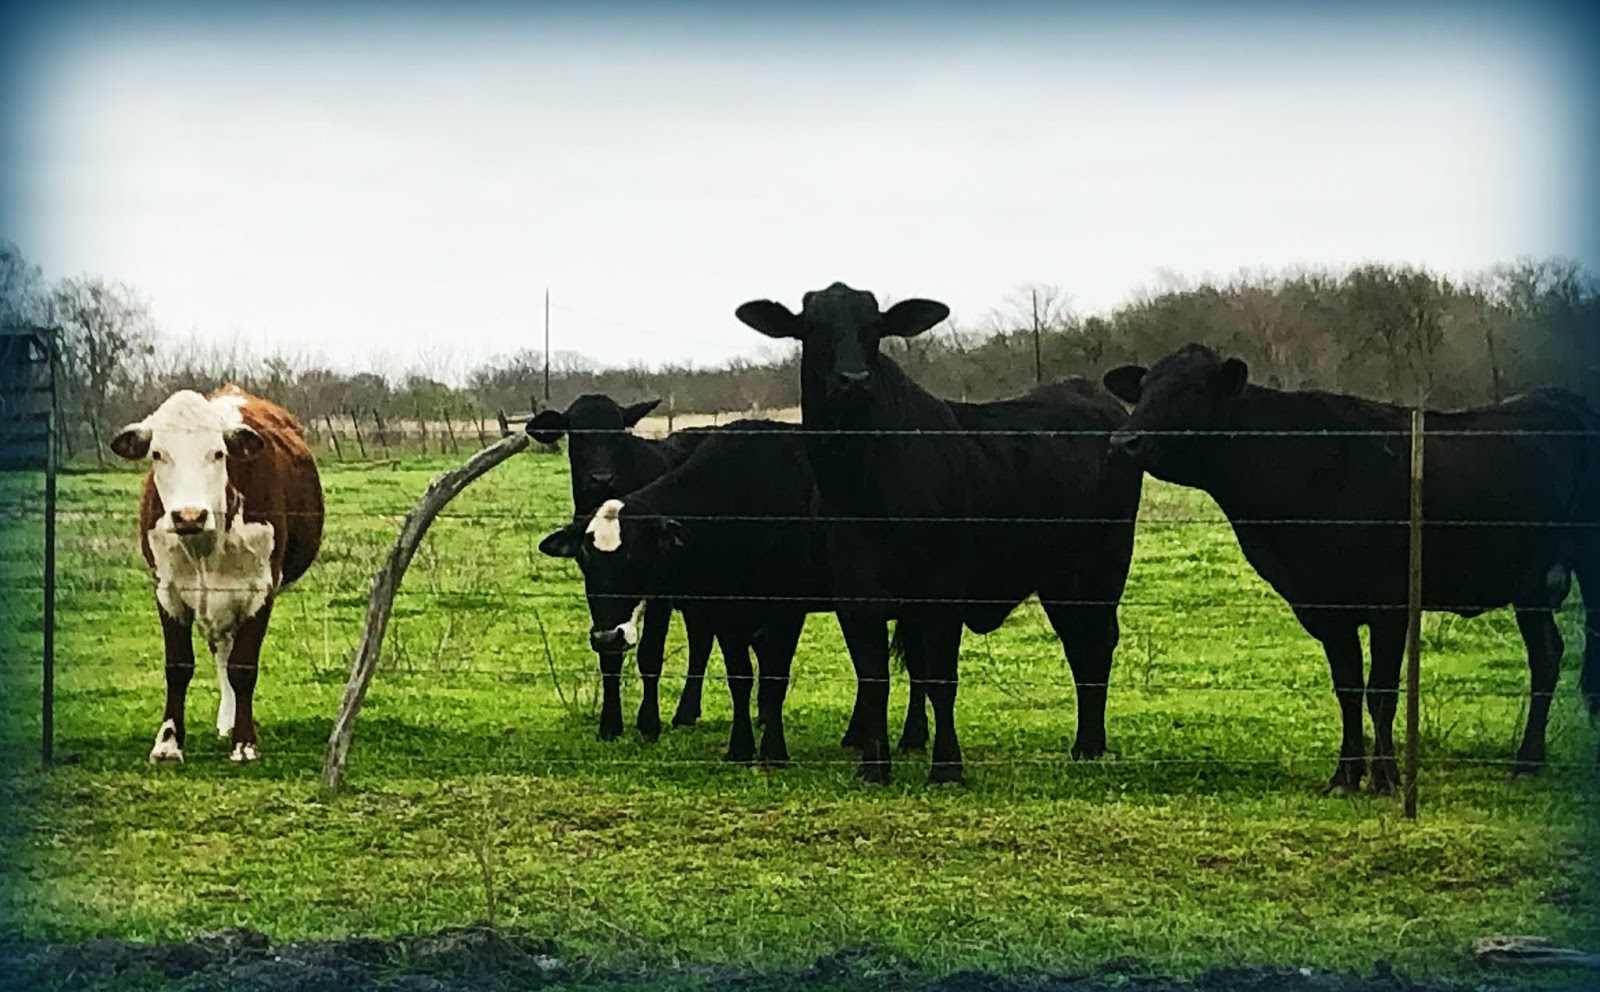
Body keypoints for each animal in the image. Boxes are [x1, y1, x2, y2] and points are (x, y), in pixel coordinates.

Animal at [109, 385, 324, 764]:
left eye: (218, 453)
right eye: (157, 454)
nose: (188, 515)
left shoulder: (260, 590)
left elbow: (243, 666)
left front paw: (245, 742)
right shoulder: (167, 591)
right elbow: (178, 666)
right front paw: (168, 743)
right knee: (221, 651)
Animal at [526, 395, 722, 741]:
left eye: (618, 432)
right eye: (577, 433)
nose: (601, 477)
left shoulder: (660, 593)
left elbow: (650, 653)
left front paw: (648, 724)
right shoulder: (595, 585)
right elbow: (608, 652)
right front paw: (610, 725)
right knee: (701, 637)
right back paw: (687, 712)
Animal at [539, 420, 832, 766]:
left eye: (637, 556)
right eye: (585, 559)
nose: (607, 637)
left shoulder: (788, 612)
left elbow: (775, 677)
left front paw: (774, 752)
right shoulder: (724, 612)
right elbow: (739, 677)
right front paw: (740, 748)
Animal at [737, 282, 1143, 785]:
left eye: (875, 328)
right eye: (813, 327)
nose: (854, 379)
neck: (864, 487)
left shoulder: (943, 590)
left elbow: (940, 680)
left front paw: (947, 766)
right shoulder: (856, 599)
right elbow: (875, 680)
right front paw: (874, 767)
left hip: (1102, 567)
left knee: (1095, 644)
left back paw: (1089, 744)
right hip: (1059, 579)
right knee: (1079, 645)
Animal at [1103, 343, 1600, 794]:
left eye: (1190, 390)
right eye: (1142, 390)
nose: (1123, 441)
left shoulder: (1390, 603)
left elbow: (1381, 692)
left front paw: (1386, 780)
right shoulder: (1324, 605)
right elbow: (1348, 689)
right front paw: (1344, 777)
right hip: (1531, 584)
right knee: (1547, 655)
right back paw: (1528, 762)